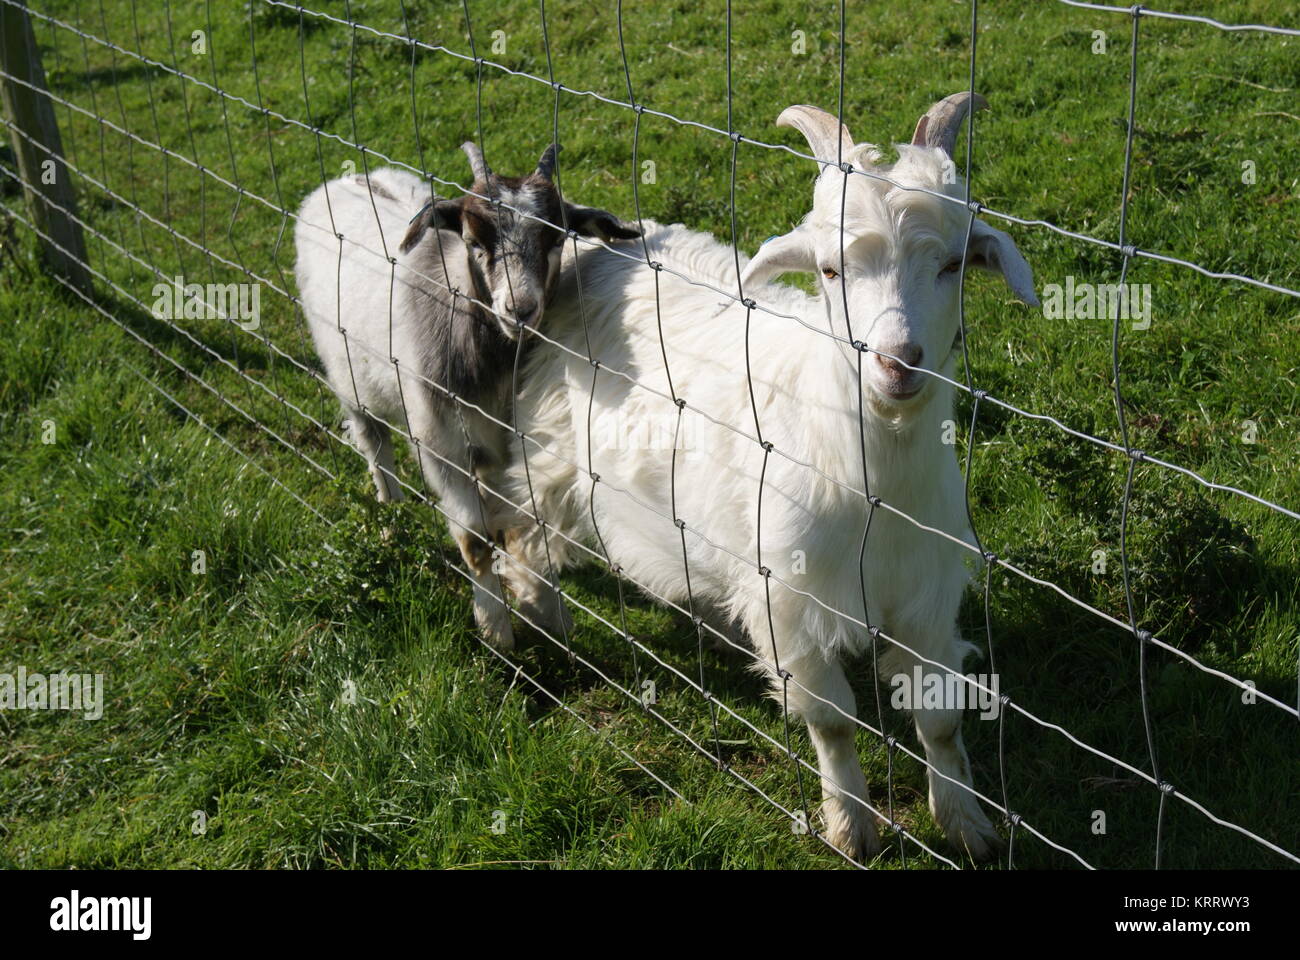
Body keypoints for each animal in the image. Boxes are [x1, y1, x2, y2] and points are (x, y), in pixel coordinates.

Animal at [294, 143, 641, 649]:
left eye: (557, 239)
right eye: (476, 241)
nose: (520, 310)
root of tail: (343, 181)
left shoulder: (516, 438)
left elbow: (524, 520)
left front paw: (547, 609)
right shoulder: (442, 444)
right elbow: (474, 539)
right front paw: (496, 630)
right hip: (349, 378)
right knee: (374, 443)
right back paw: (391, 518)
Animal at [487, 94, 1039, 860]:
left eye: (953, 264)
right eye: (831, 271)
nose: (899, 362)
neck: (870, 479)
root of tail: (593, 248)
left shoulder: (925, 592)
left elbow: (939, 719)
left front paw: (965, 822)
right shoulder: (794, 599)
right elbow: (833, 720)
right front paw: (851, 827)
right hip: (553, 456)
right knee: (524, 540)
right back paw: (543, 624)